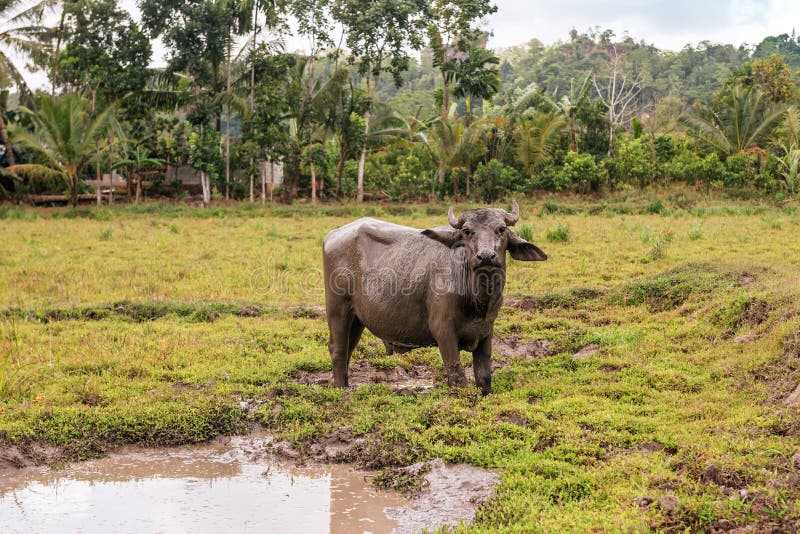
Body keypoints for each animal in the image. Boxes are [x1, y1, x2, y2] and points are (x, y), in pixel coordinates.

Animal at [322, 201, 546, 394]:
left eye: (501, 229)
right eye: (467, 231)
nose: (486, 256)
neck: (477, 300)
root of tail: (332, 234)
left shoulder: (486, 332)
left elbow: (484, 377)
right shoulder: (443, 329)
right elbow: (457, 375)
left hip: (357, 318)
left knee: (348, 348)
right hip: (338, 309)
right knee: (338, 349)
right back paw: (340, 389)